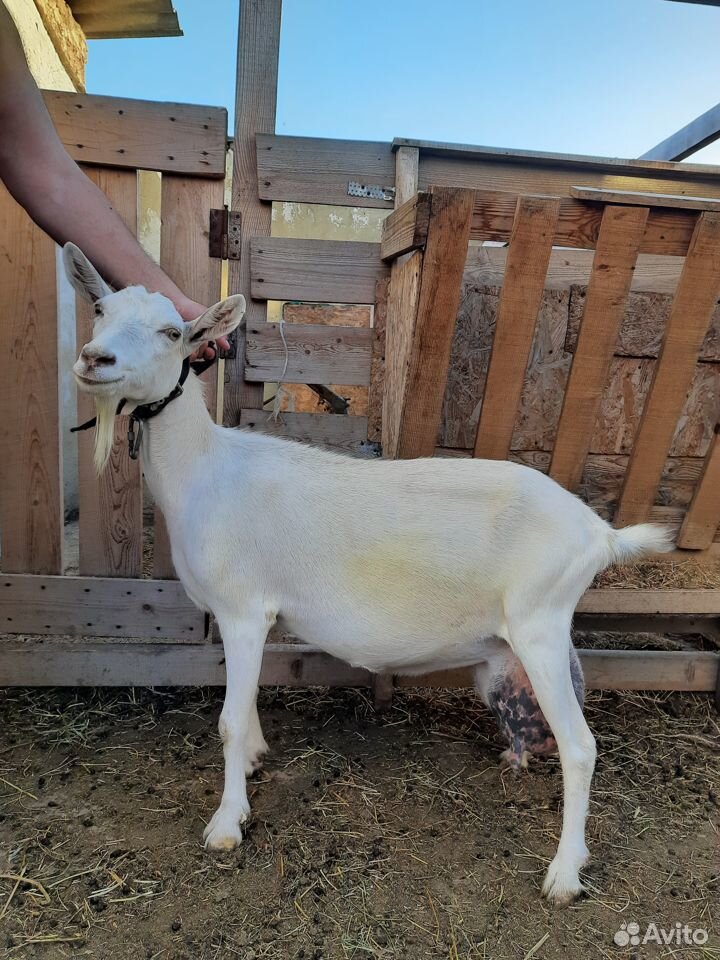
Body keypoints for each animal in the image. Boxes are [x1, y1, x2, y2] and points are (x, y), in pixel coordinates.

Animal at [64, 243, 672, 905]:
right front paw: (254, 757)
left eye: (173, 332)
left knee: (581, 747)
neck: (206, 471)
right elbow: (245, 704)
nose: (94, 359)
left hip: (539, 625)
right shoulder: (251, 616)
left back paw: (564, 874)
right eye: (100, 308)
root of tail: (599, 533)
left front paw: (227, 824)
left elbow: (226, 720)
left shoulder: (244, 608)